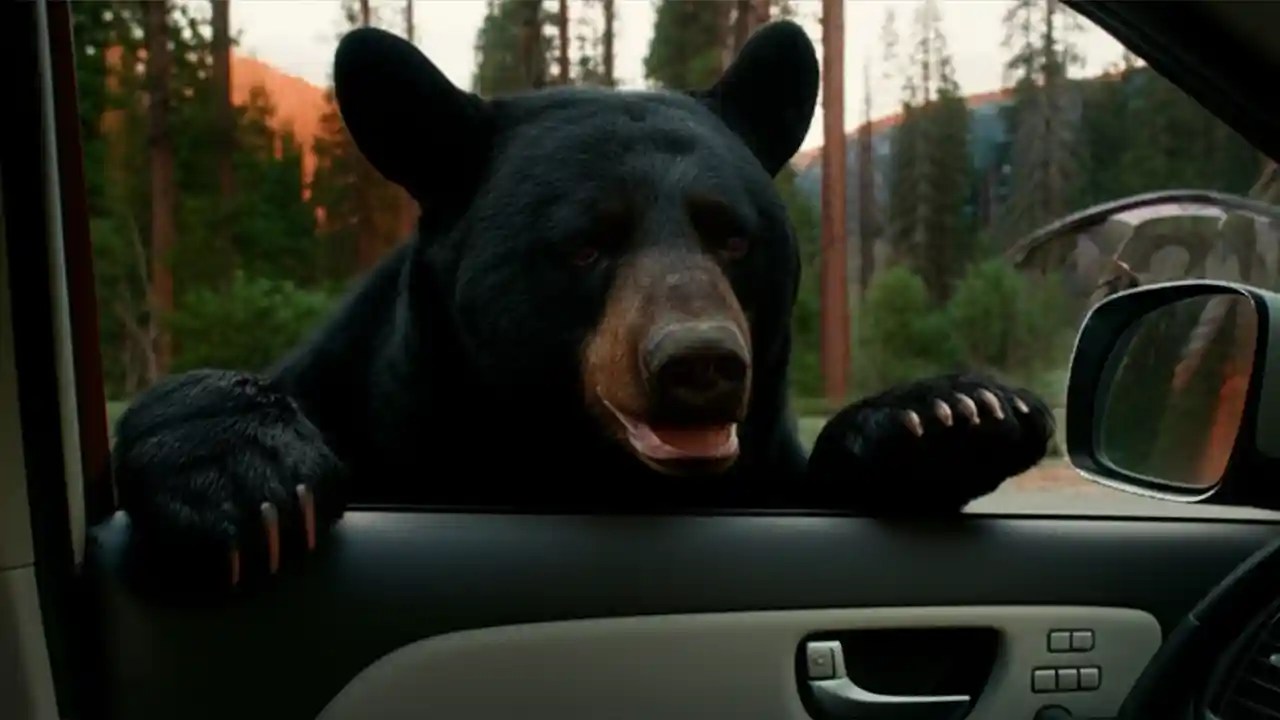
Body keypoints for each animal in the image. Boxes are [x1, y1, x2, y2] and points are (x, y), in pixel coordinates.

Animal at [110, 20, 1056, 594]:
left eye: (733, 236)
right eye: (584, 244)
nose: (701, 363)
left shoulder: (761, 475)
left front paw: (949, 414)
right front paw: (237, 467)